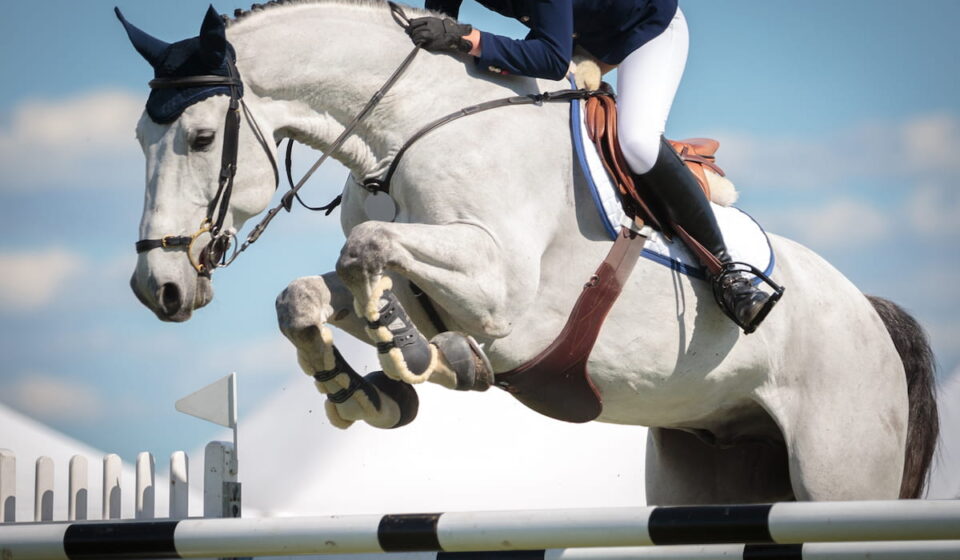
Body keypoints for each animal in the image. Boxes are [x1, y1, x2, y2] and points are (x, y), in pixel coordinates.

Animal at [120, 0, 938, 504]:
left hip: (836, 474)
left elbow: (365, 246)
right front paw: (369, 392)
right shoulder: (417, 278)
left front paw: (420, 356)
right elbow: (307, 294)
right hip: (707, 462)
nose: (157, 286)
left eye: (200, 137)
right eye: (136, 139)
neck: (407, 127)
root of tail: (871, 314)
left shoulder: (501, 291)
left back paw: (746, 292)